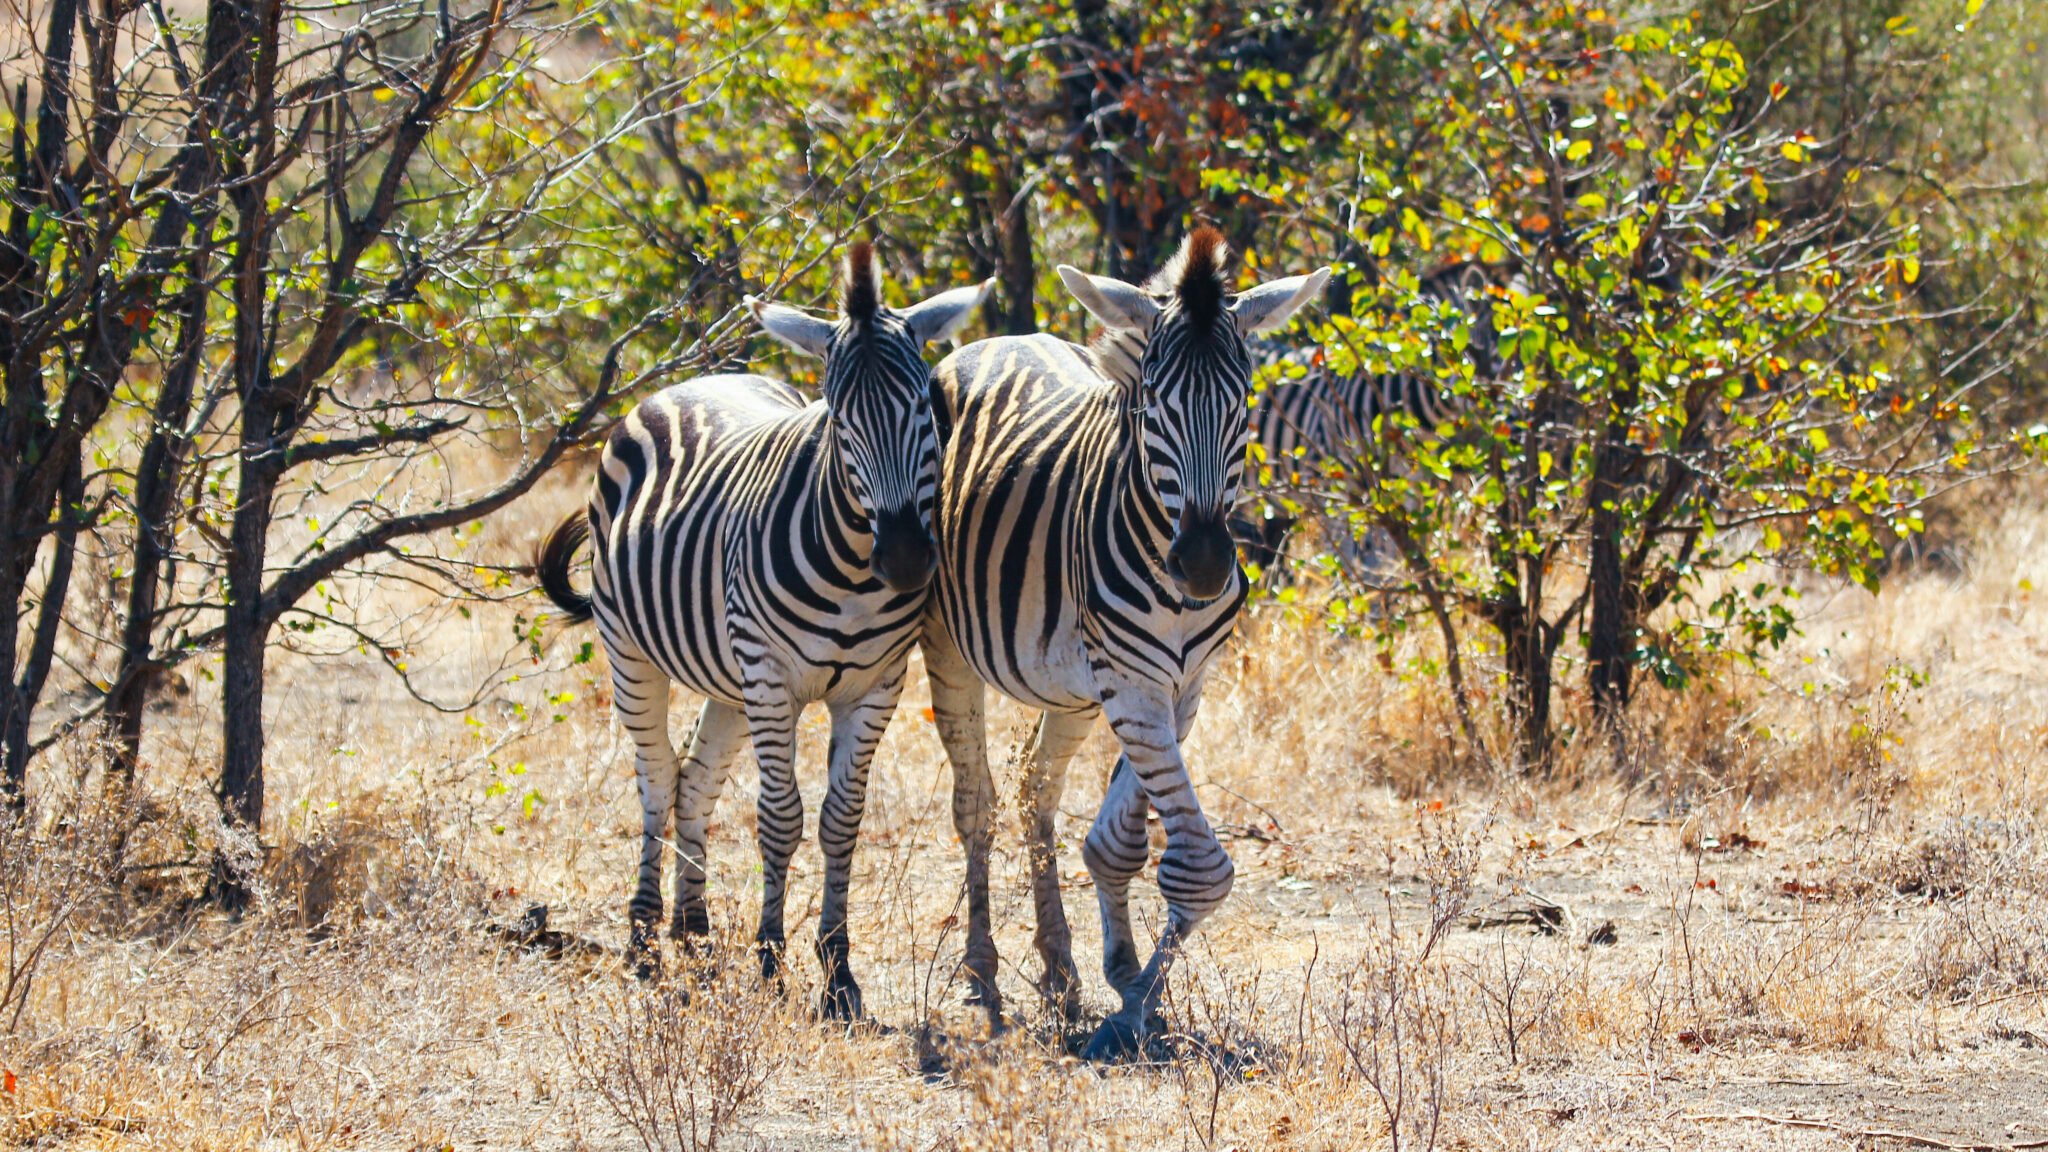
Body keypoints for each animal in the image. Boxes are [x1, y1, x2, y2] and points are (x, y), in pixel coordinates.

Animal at [536, 244, 990, 1017]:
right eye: (839, 421)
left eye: (926, 409)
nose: (905, 558)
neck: (854, 573)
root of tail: (698, 380)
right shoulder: (773, 679)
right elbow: (780, 817)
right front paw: (772, 963)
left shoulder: (875, 685)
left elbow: (841, 818)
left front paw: (838, 974)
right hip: (635, 654)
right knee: (656, 780)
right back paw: (643, 940)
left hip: (728, 681)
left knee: (694, 781)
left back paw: (692, 931)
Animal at [921, 228, 1328, 1058]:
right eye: (1154, 406)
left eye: (1243, 404)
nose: (1203, 564)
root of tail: (995, 339)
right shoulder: (1134, 683)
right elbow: (1198, 867)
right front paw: (1132, 1007)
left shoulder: (1180, 686)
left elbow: (1120, 848)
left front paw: (1126, 978)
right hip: (952, 649)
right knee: (976, 802)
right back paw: (982, 972)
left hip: (1072, 688)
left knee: (1033, 788)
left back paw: (1058, 970)